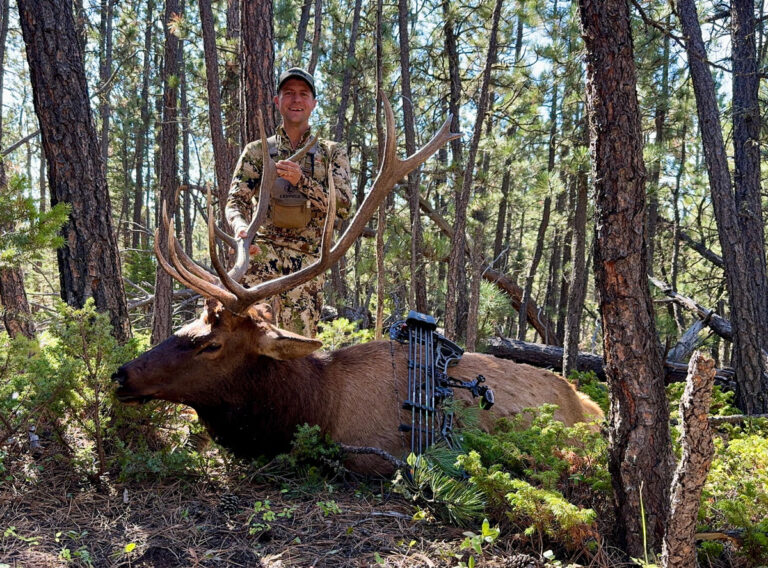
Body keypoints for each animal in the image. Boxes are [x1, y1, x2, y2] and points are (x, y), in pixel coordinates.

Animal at [113, 98, 603, 473]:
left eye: (211, 344)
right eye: (187, 325)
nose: (121, 374)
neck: (311, 407)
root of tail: (590, 404)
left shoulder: (373, 454)